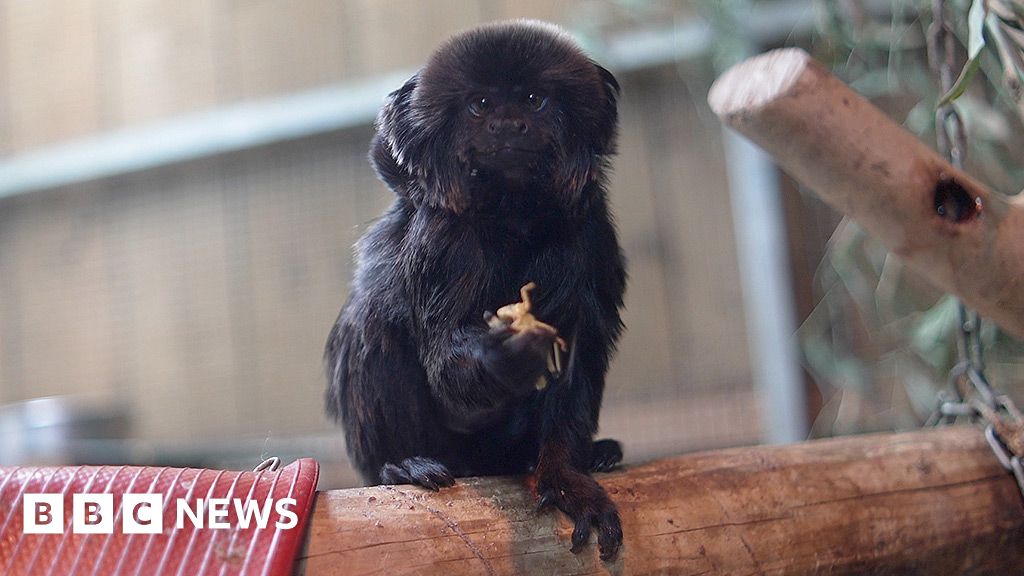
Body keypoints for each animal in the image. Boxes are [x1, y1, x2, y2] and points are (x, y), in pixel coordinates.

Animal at [325, 20, 627, 560]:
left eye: (533, 100)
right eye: (481, 105)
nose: (508, 126)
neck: (513, 212)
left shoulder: (584, 233)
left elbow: (578, 355)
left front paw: (566, 476)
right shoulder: (445, 235)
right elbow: (445, 356)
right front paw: (503, 356)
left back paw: (593, 454)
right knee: (372, 321)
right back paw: (401, 464)